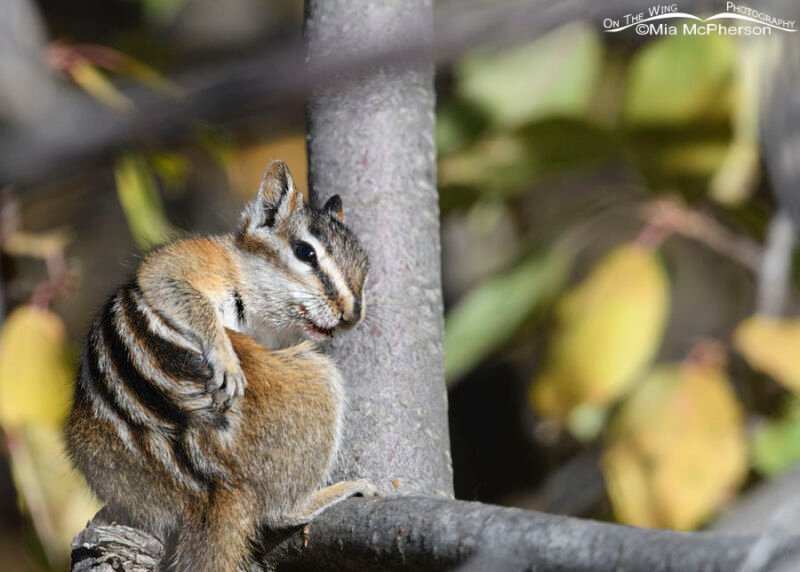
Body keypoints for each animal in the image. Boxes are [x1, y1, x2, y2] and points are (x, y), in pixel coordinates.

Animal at [65, 160, 377, 572]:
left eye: (365, 265)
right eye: (305, 253)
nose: (352, 315)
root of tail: (210, 479)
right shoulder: (188, 263)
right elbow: (172, 287)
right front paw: (225, 356)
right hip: (315, 383)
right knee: (280, 512)